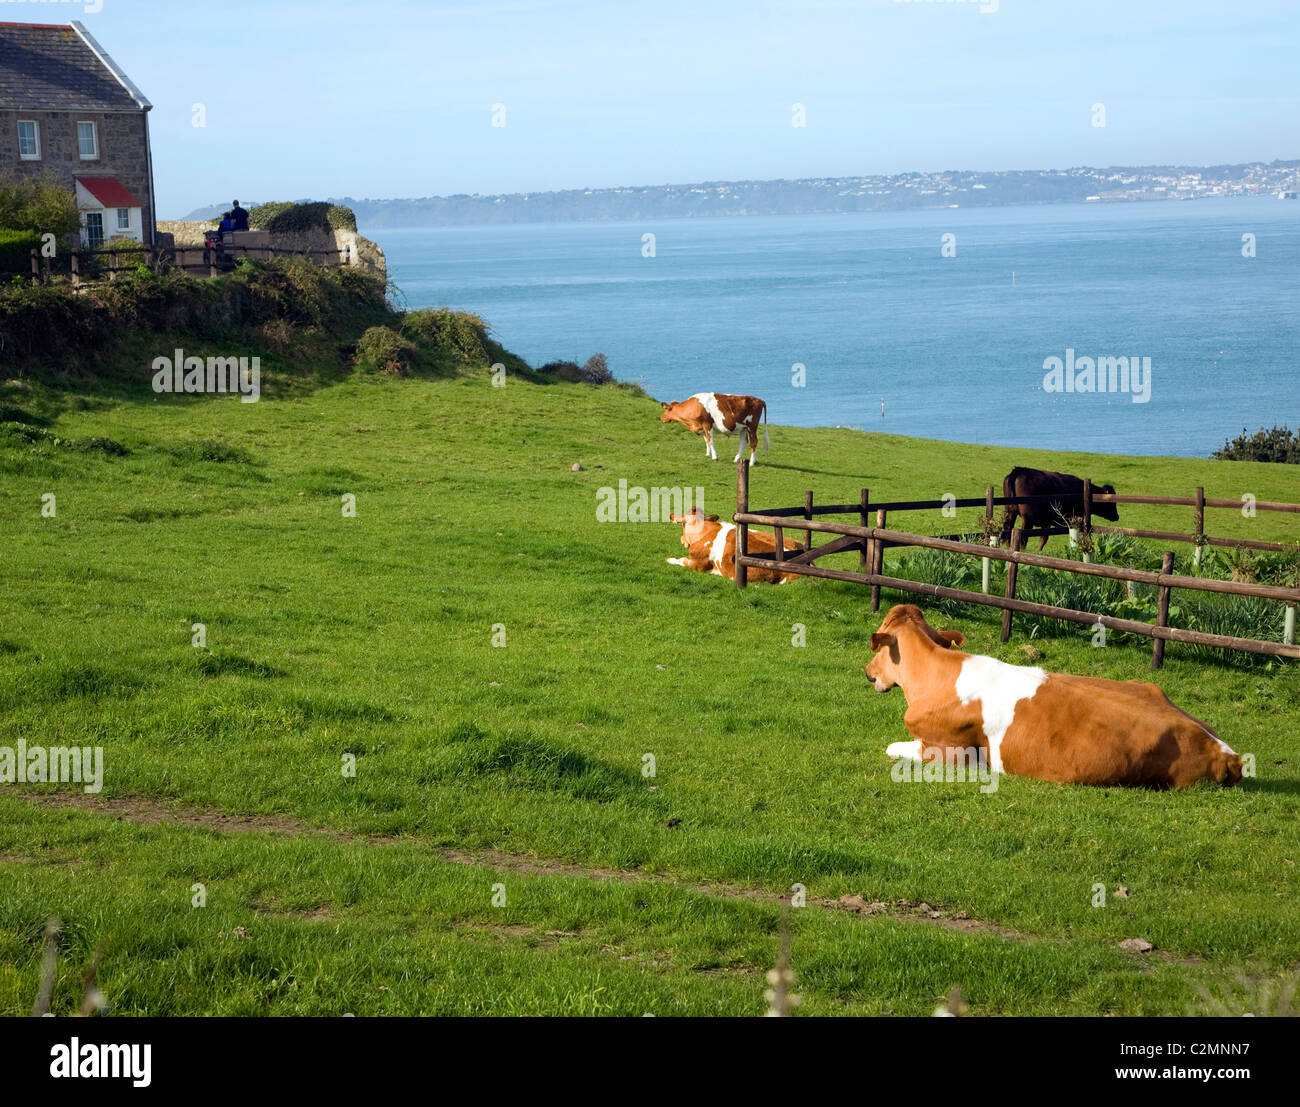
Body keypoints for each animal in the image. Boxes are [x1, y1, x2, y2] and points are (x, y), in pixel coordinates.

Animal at [864, 604, 1243, 790]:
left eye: (879, 646)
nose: (868, 671)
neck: (937, 675)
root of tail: (1225, 751)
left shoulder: (949, 753)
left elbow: (891, 747)